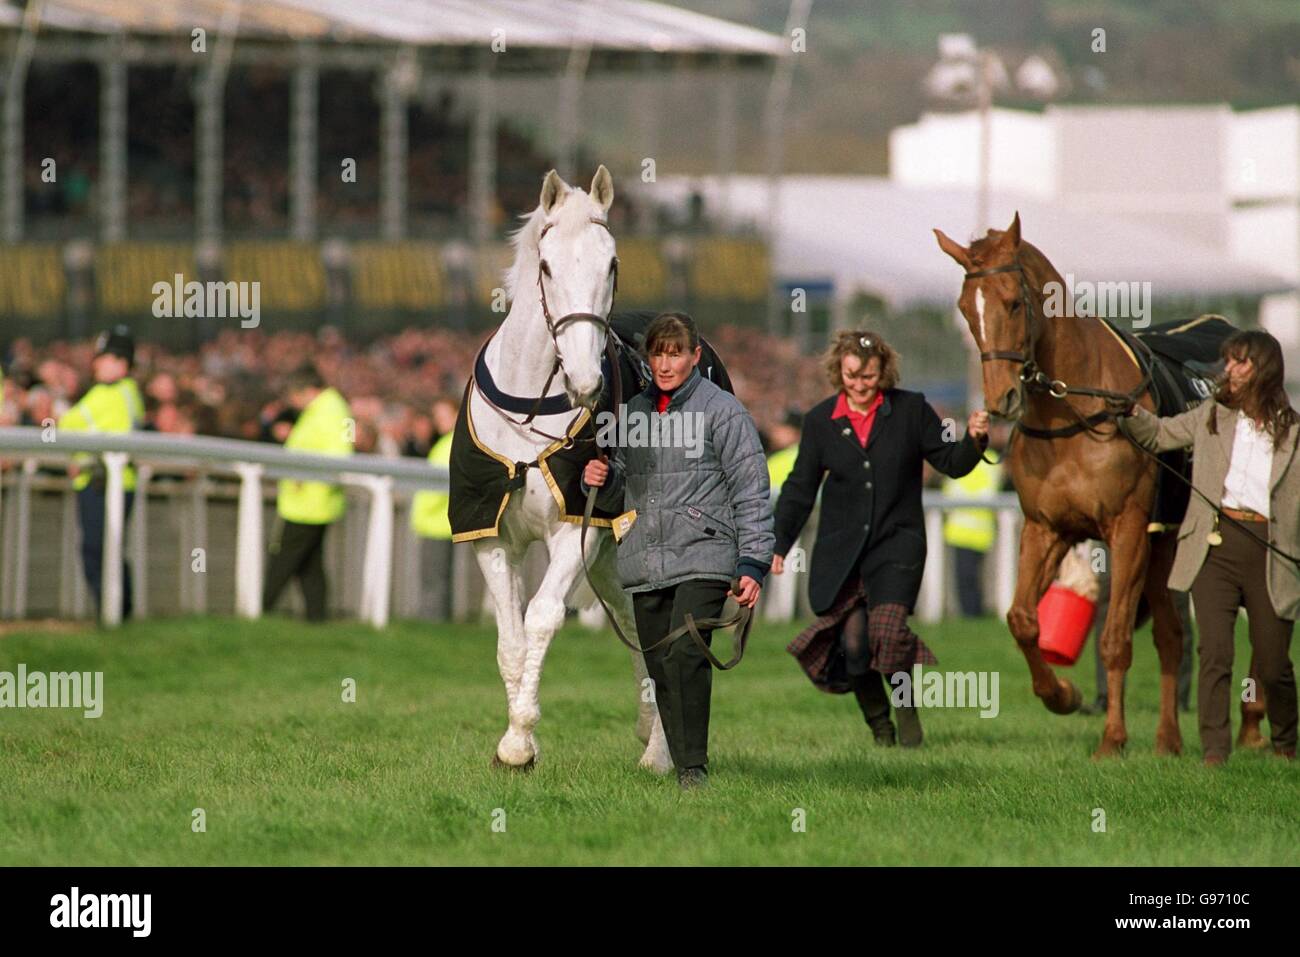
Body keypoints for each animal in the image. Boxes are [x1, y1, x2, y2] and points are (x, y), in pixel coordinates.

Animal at [451, 166, 672, 773]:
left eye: (612, 263)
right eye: (547, 266)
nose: (584, 380)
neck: (530, 413)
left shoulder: (578, 525)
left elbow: (542, 617)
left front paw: (520, 737)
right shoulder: (490, 533)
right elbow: (509, 637)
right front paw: (514, 744)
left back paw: (661, 748)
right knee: (629, 615)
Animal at [934, 213, 1187, 758]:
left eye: (1013, 301)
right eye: (966, 310)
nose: (1002, 399)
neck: (1076, 407)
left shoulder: (1128, 528)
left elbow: (1114, 638)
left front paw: (1112, 738)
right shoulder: (1046, 527)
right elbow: (1021, 619)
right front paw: (1061, 694)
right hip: (1163, 544)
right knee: (1171, 633)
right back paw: (1169, 738)